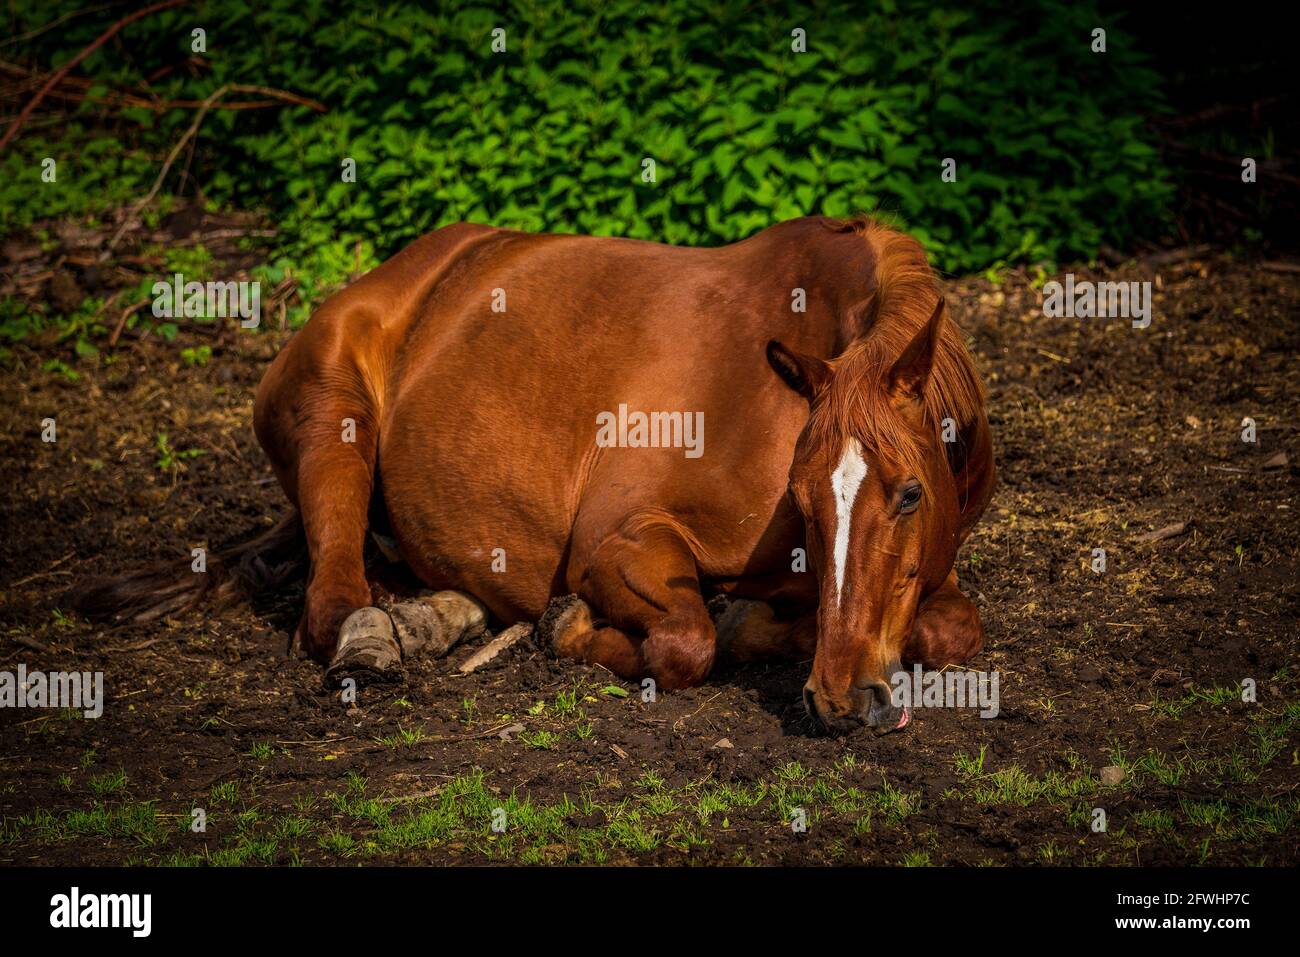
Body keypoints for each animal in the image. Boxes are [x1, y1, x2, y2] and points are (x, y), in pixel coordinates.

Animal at [74, 215, 995, 734]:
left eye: (911, 492)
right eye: (801, 501)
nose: (843, 700)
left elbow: (953, 629)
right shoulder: (615, 540)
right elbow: (687, 641)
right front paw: (577, 626)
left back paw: (429, 618)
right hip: (332, 417)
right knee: (332, 594)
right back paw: (378, 634)